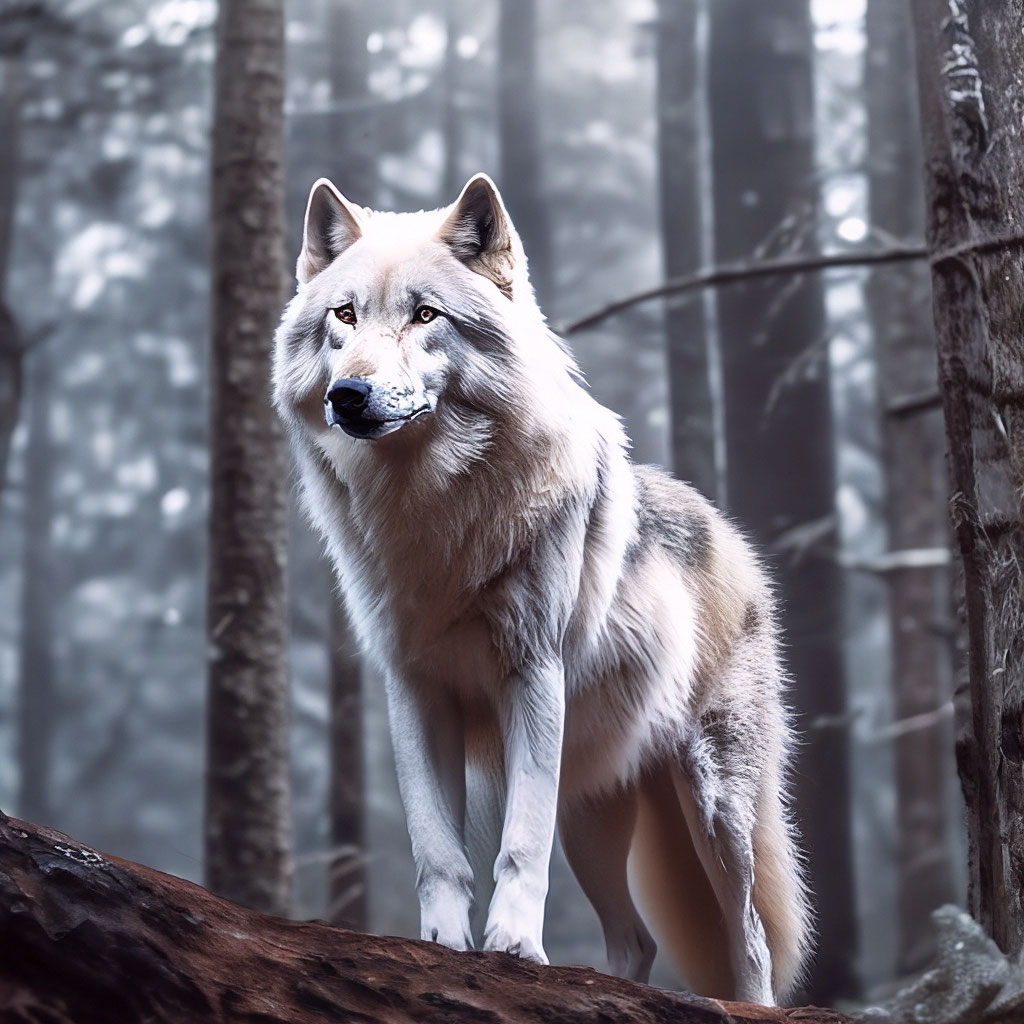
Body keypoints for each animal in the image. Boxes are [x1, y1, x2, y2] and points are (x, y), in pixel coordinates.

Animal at [272, 173, 813, 1004]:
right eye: (345, 315)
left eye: (425, 315)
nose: (349, 395)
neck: (433, 516)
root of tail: (728, 530)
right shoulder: (414, 690)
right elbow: (438, 848)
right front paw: (441, 945)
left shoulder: (532, 675)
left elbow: (519, 848)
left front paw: (516, 949)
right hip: (591, 816)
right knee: (637, 940)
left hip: (713, 806)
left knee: (748, 942)